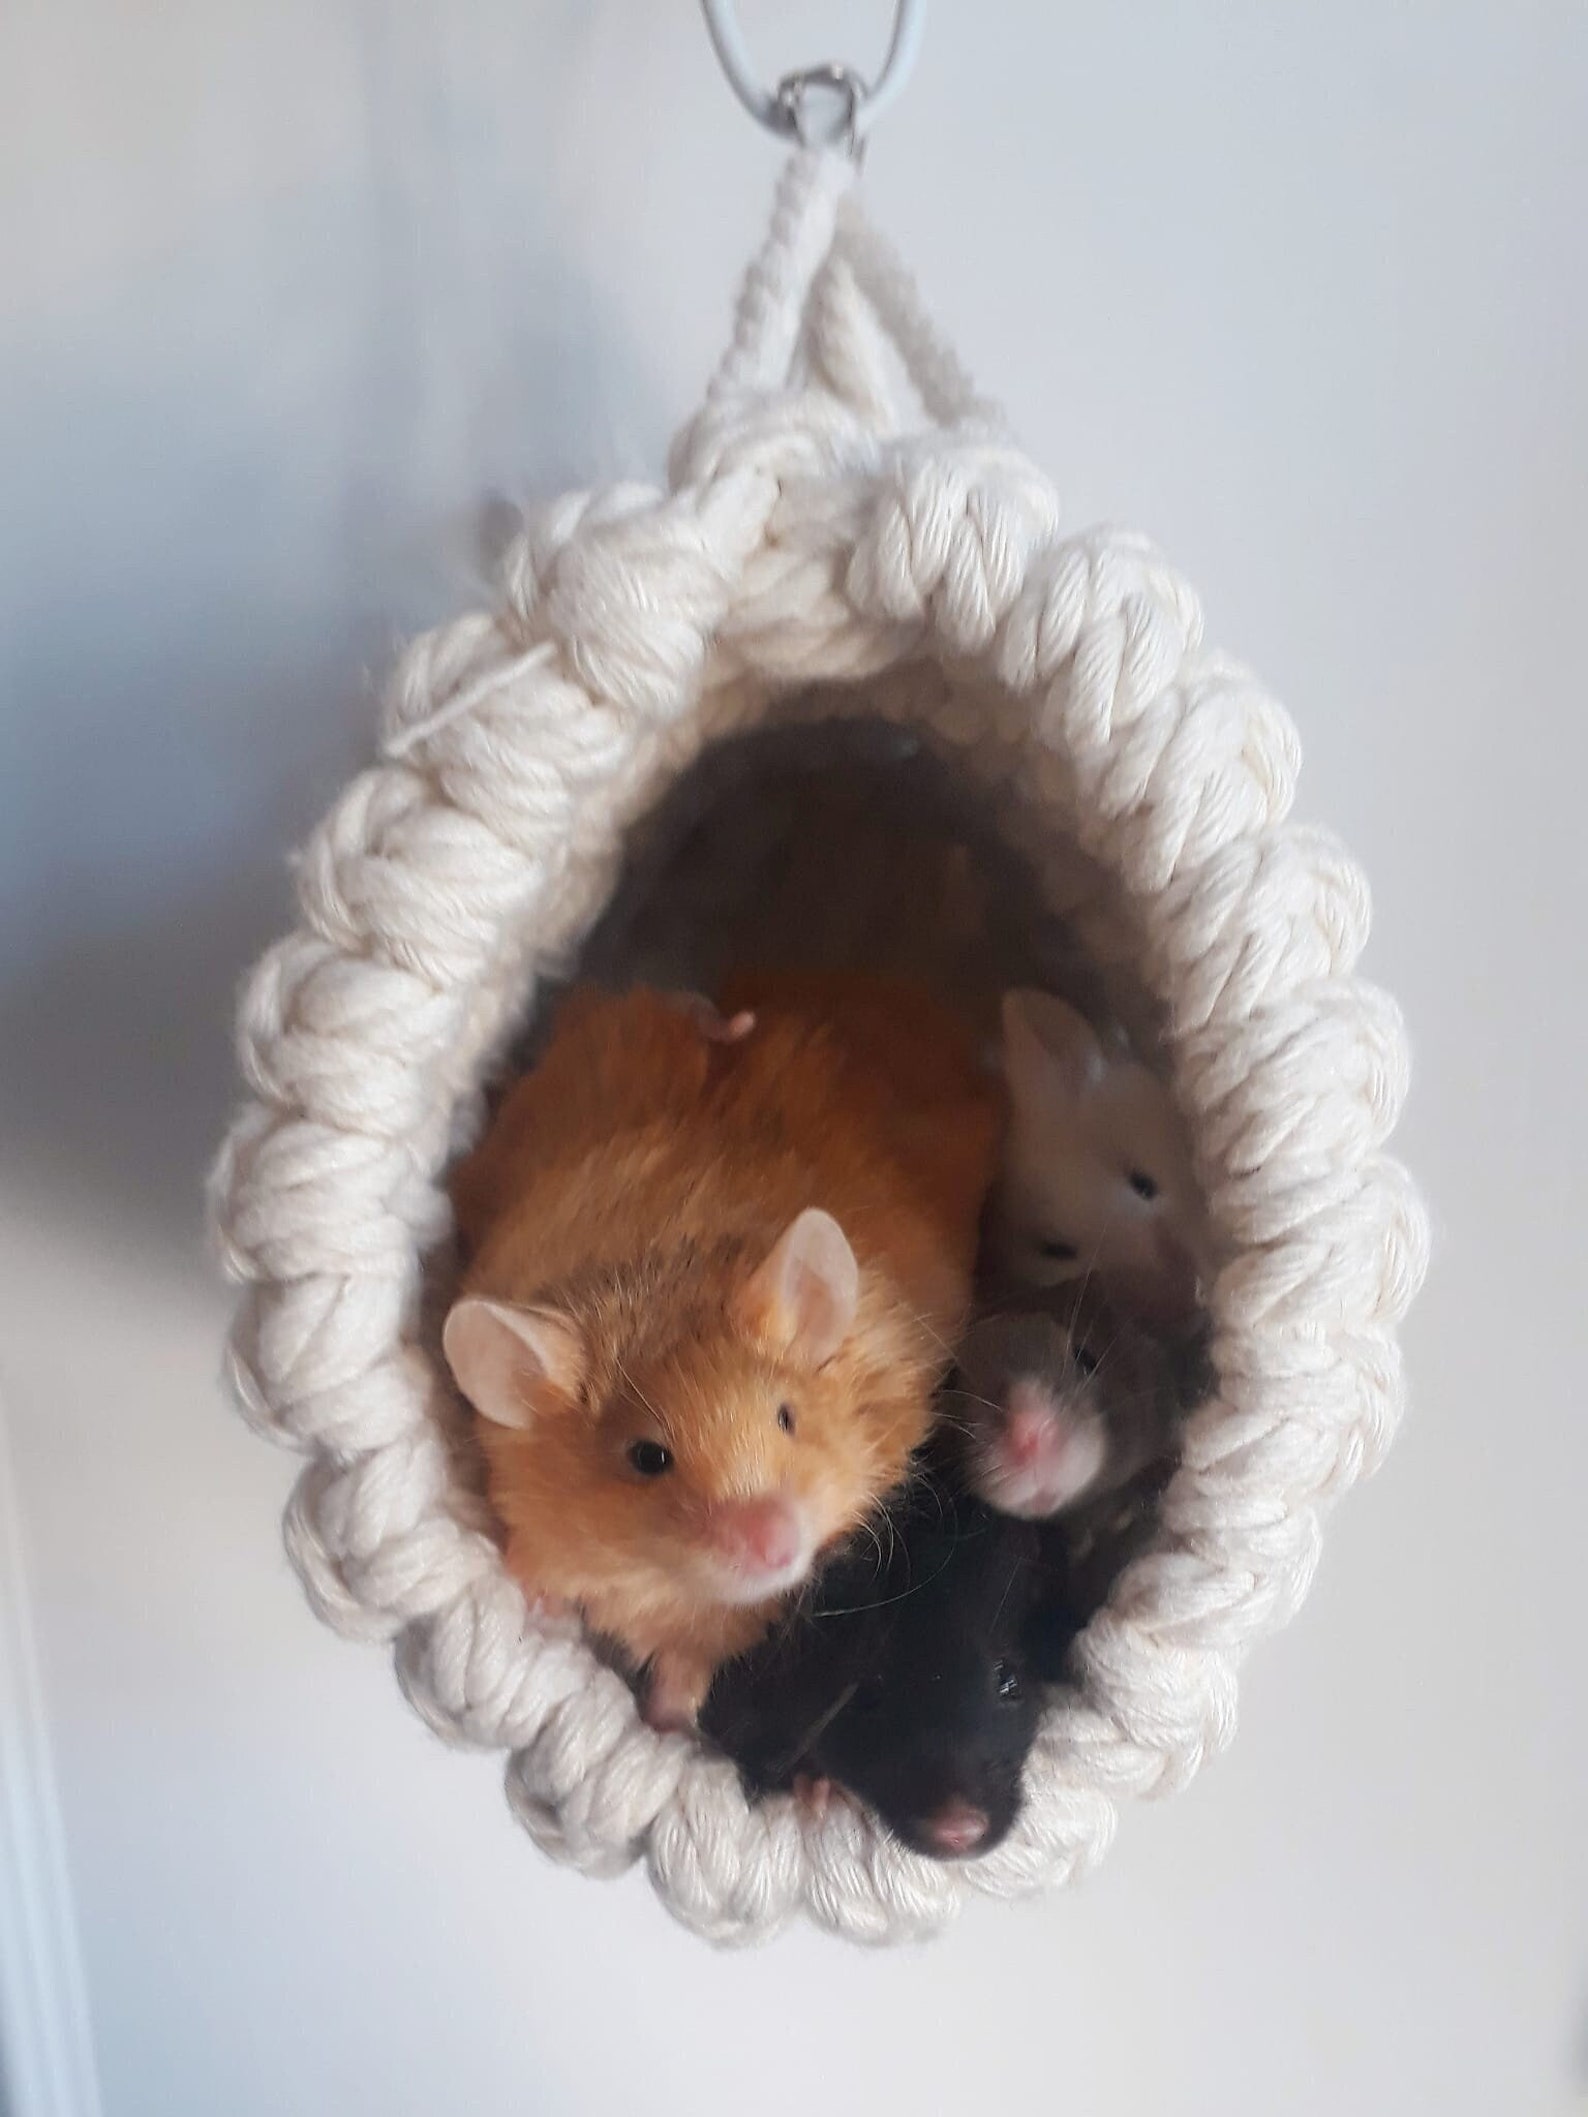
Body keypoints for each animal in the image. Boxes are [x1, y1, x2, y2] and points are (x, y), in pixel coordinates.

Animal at [444, 977, 1002, 1728]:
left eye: (788, 1417)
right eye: (647, 1458)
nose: (776, 1544)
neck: (667, 1583)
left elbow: (687, 1670)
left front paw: (668, 1725)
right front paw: (545, 1610)